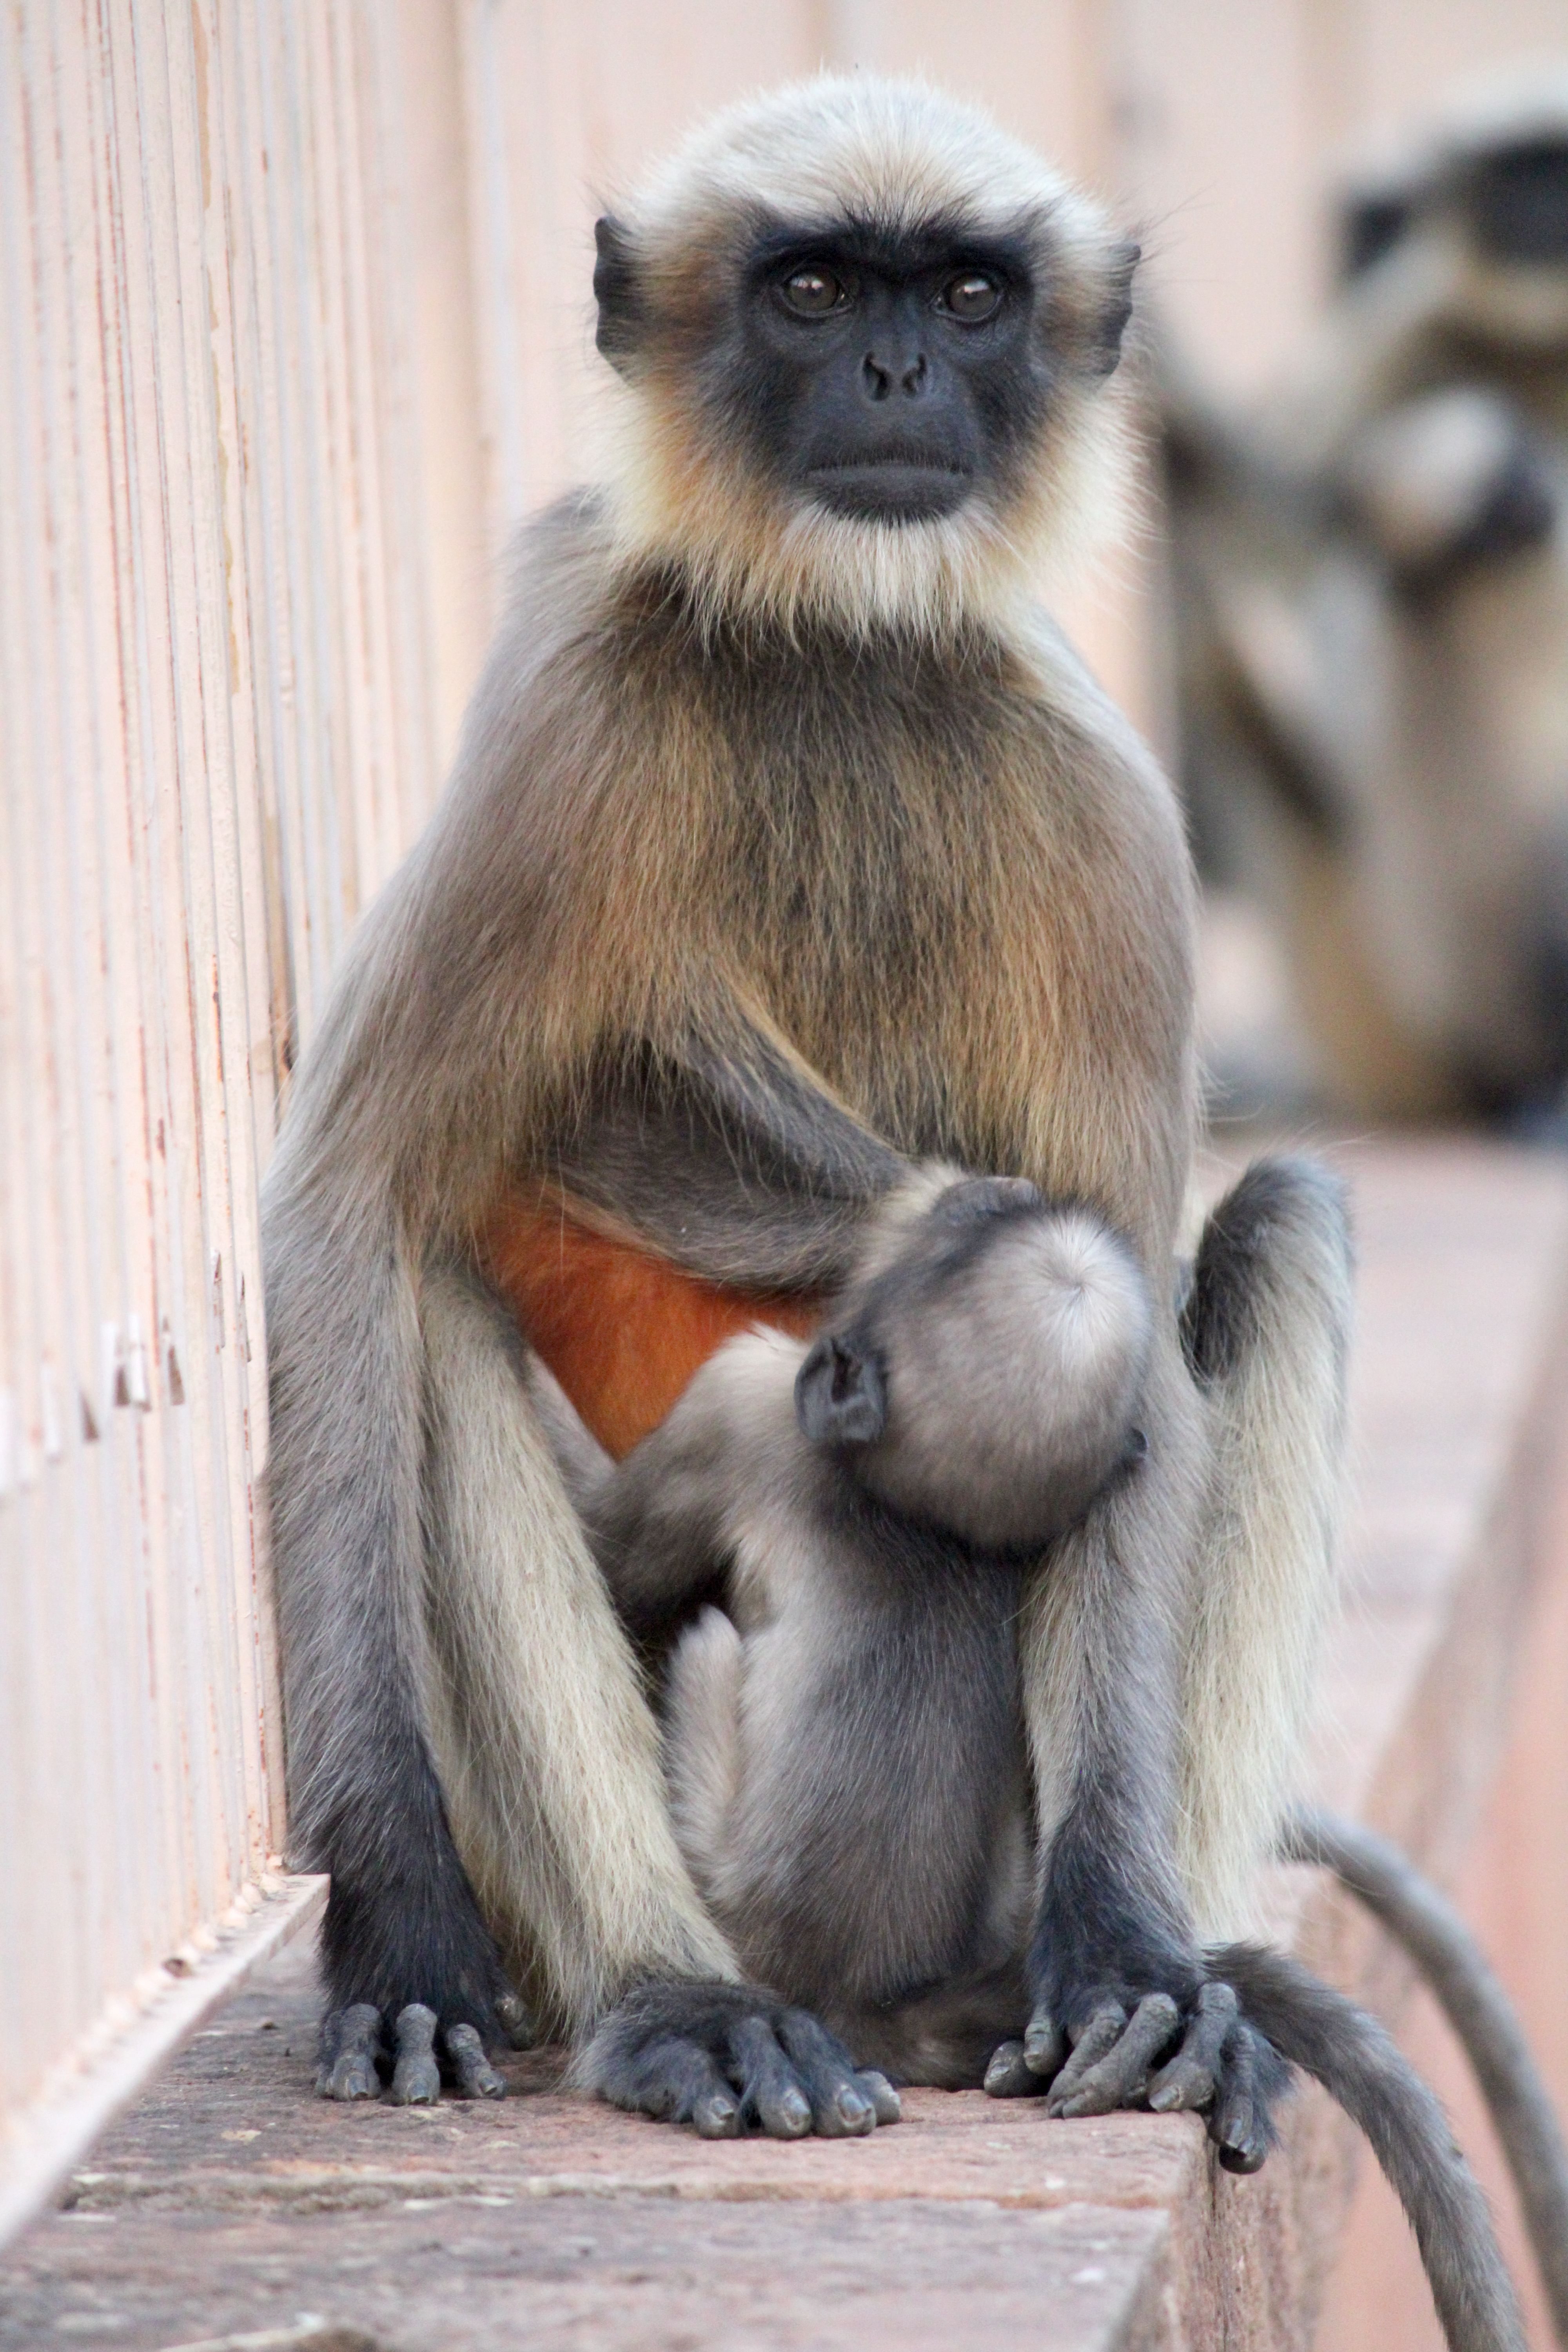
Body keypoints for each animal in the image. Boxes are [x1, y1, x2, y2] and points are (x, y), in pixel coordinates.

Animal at [260, 75, 1352, 2136]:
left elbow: (1125, 1312)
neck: (834, 647)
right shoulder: (563, 721)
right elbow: (344, 1205)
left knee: (1281, 1216)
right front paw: (392, 1916)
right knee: (428, 1295)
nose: (897, 369)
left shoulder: (1105, 813)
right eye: (817, 286)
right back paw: (670, 1995)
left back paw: (1112, 1965)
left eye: (970, 294)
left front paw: (1125, 1947)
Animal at [540, 1171, 1527, 2352]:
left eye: (944, 1230)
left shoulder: (740, 1403)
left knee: (702, 1646)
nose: (980, 1183)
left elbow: (618, 1562)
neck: (917, 1510)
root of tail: (863, 1999)